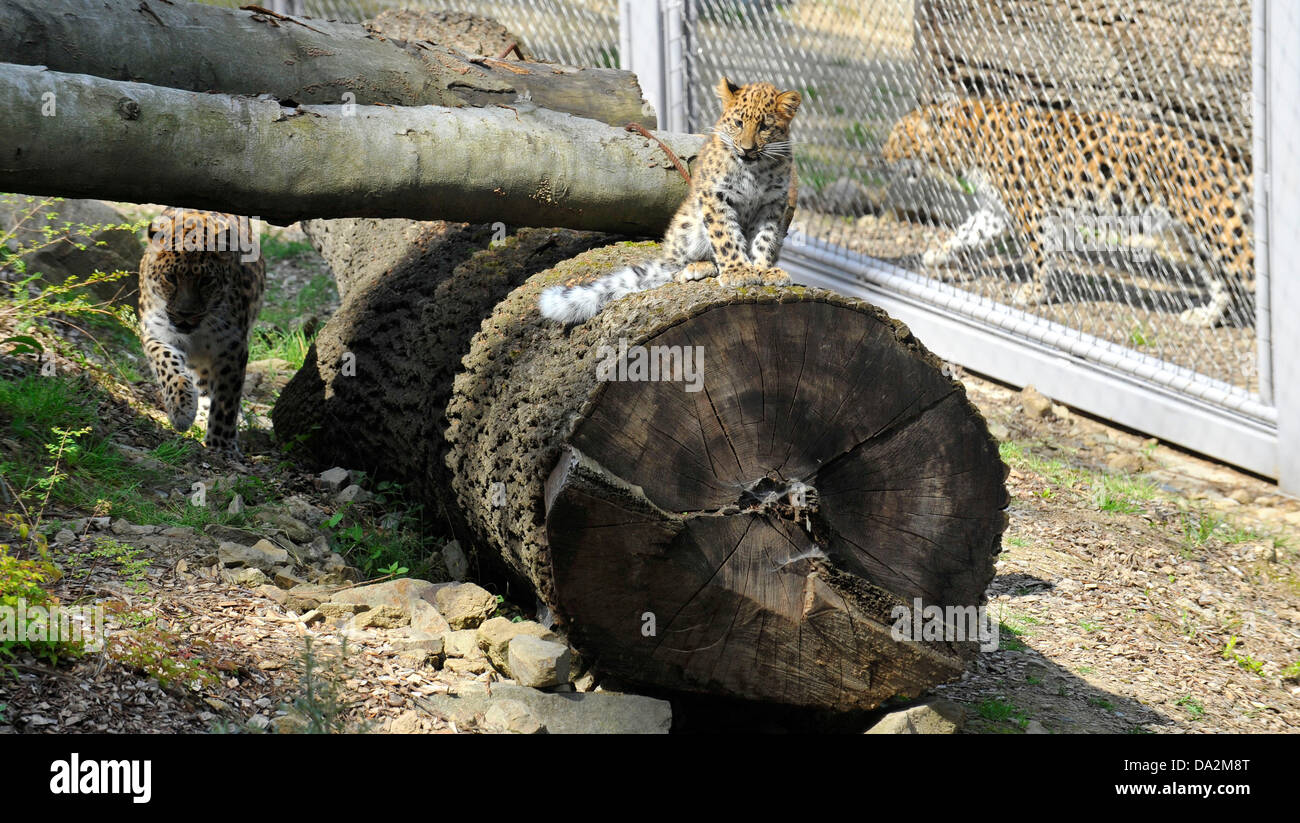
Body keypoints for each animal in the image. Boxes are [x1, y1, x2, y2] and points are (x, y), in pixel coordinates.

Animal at [137, 208, 265, 458]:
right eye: (171, 278)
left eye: (206, 280)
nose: (185, 314)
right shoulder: (155, 331)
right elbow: (167, 364)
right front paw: (181, 408)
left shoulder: (231, 346)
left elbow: (227, 397)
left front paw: (222, 445)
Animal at [539, 77, 801, 323]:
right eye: (738, 123)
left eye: (764, 127)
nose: (746, 149)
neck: (754, 170)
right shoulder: (716, 196)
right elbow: (726, 236)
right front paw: (739, 271)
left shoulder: (772, 204)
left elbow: (764, 239)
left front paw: (763, 270)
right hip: (686, 227)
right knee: (675, 267)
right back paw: (696, 268)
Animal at [881, 99, 1254, 328]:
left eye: (898, 137)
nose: (881, 158)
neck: (966, 140)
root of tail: (1226, 154)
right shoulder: (997, 213)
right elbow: (965, 233)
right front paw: (935, 255)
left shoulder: (1029, 209)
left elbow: (1039, 254)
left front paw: (1035, 293)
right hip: (1195, 236)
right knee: (1222, 284)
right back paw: (1206, 316)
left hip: (1223, 230)